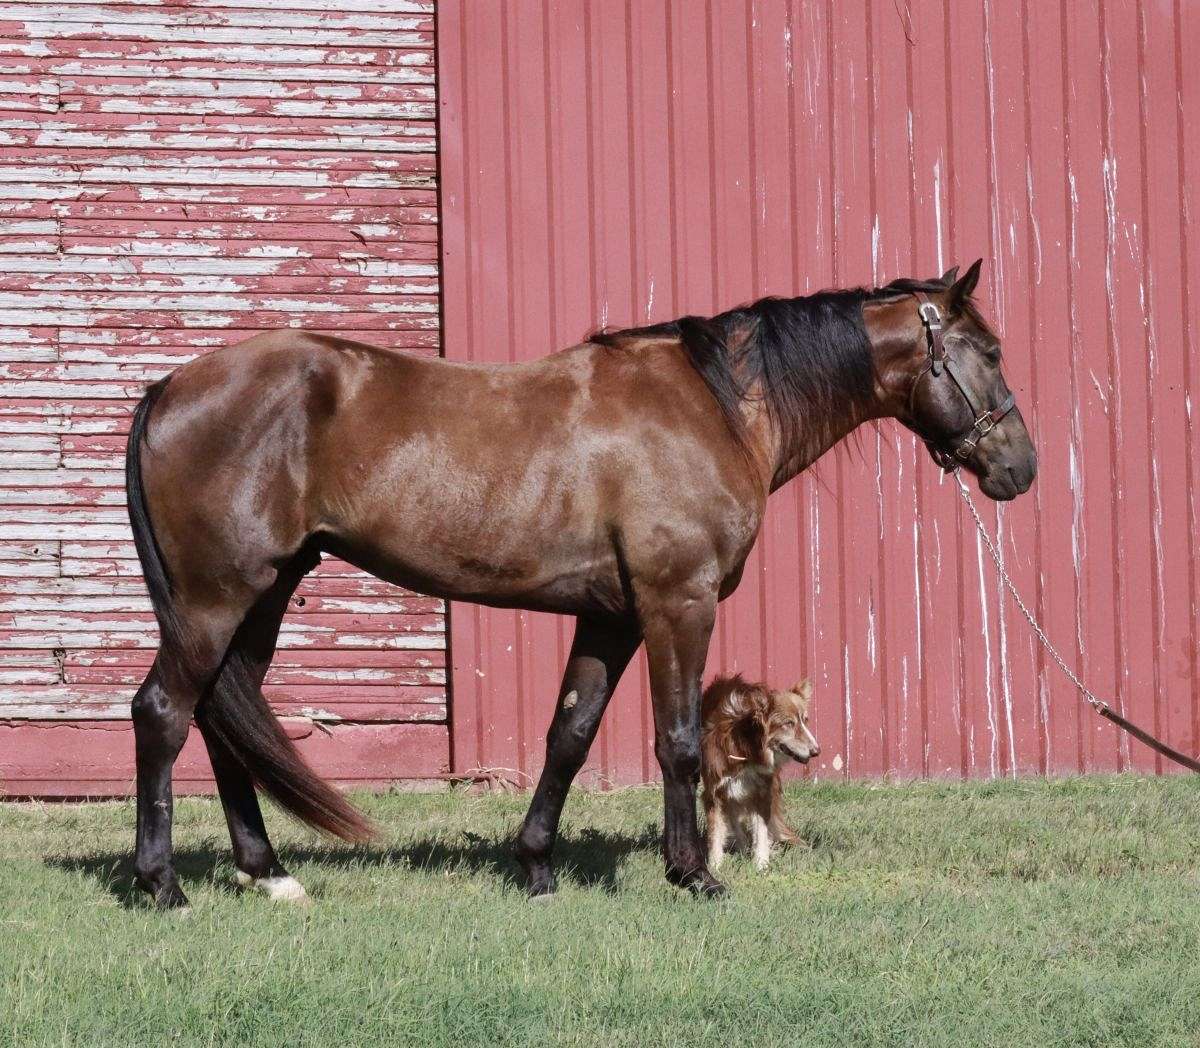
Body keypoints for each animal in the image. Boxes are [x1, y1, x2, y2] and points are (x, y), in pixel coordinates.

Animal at [122, 258, 1035, 907]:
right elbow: (676, 741)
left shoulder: (613, 618)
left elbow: (569, 733)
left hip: (265, 594)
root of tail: (170, 387)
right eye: (989, 354)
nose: (1019, 469)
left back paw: (268, 872)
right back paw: (161, 884)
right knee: (164, 712)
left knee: (222, 717)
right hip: (216, 597)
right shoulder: (677, 603)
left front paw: (535, 868)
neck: (715, 409)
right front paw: (693, 874)